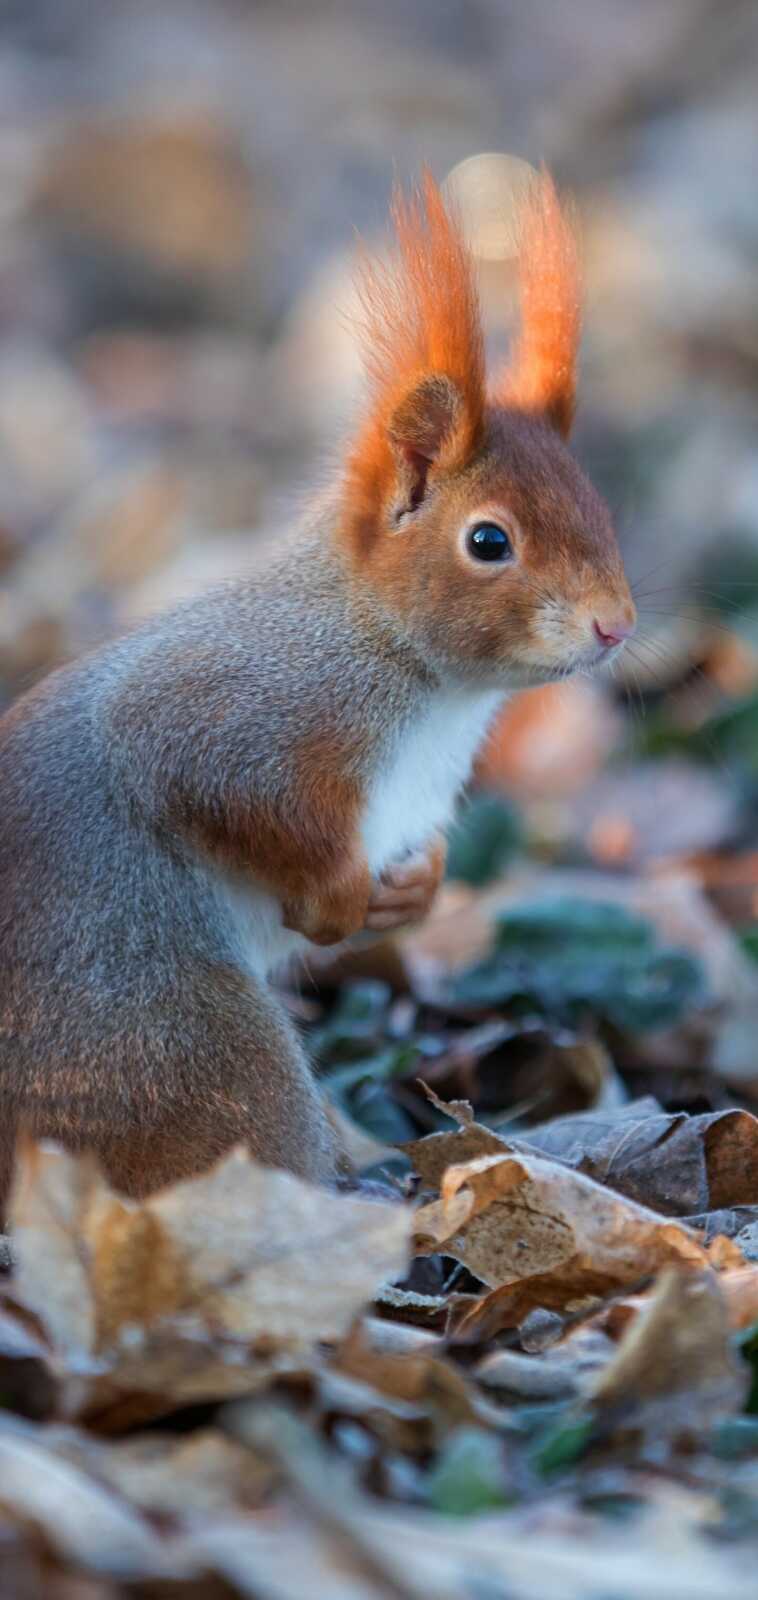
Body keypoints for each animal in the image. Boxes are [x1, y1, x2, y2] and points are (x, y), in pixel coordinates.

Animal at [0, 171, 635, 1209]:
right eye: (488, 541)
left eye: (600, 509)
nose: (616, 624)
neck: (425, 683)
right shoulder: (238, 707)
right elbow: (206, 775)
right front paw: (336, 899)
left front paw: (413, 889)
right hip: (173, 1047)